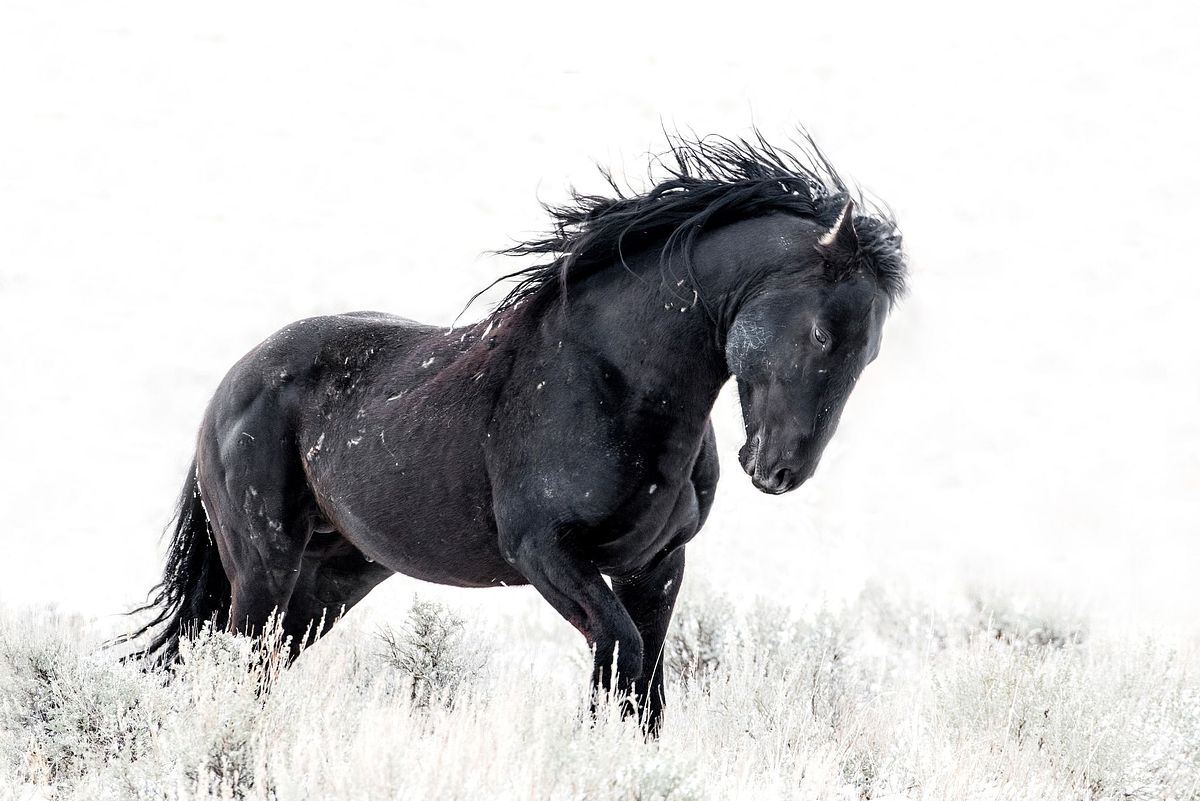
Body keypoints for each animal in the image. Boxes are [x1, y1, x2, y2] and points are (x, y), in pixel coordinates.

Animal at [123, 131, 907, 734]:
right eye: (819, 332)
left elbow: (645, 691)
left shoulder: (655, 565)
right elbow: (620, 660)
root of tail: (232, 386)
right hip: (264, 565)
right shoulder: (546, 553)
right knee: (231, 661)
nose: (780, 470)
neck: (613, 381)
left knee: (255, 664)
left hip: (332, 580)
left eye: (870, 352)